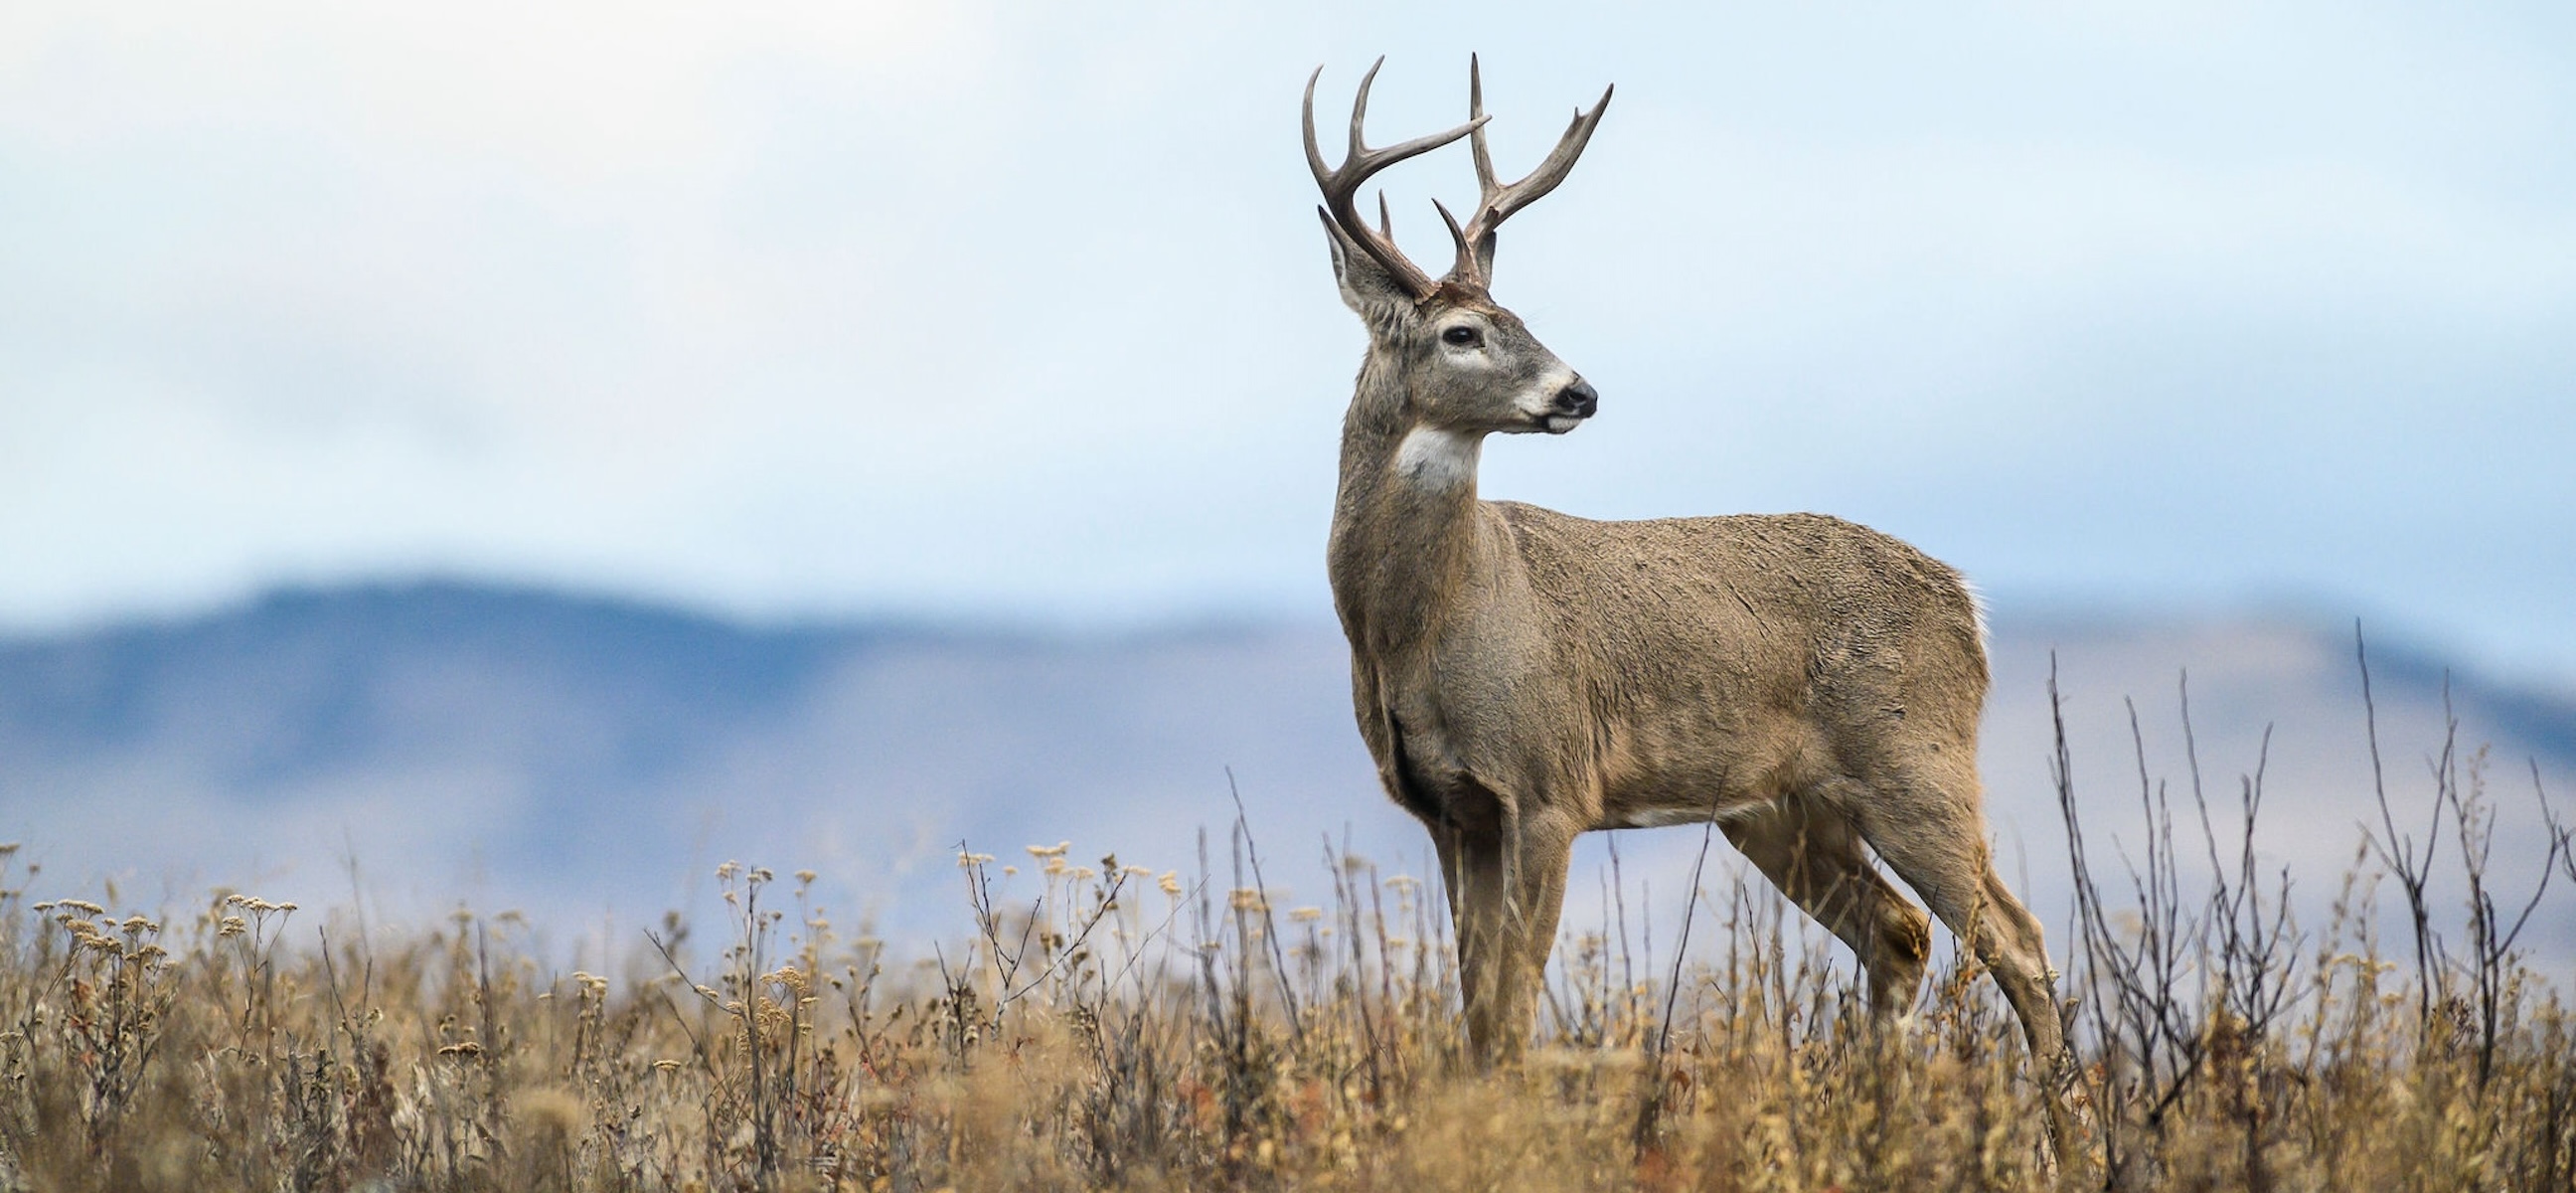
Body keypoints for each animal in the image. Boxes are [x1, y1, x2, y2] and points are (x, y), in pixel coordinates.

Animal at [1307, 57, 2073, 1138]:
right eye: (1462, 332)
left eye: (1521, 319)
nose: (1578, 392)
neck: (1424, 628)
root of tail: (1968, 604)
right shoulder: (1449, 811)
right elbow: (1476, 1018)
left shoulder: (1551, 784)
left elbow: (1512, 1012)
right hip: (1782, 807)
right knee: (1901, 935)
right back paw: (1877, 1130)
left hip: (1916, 764)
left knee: (2019, 942)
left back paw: (2068, 1141)